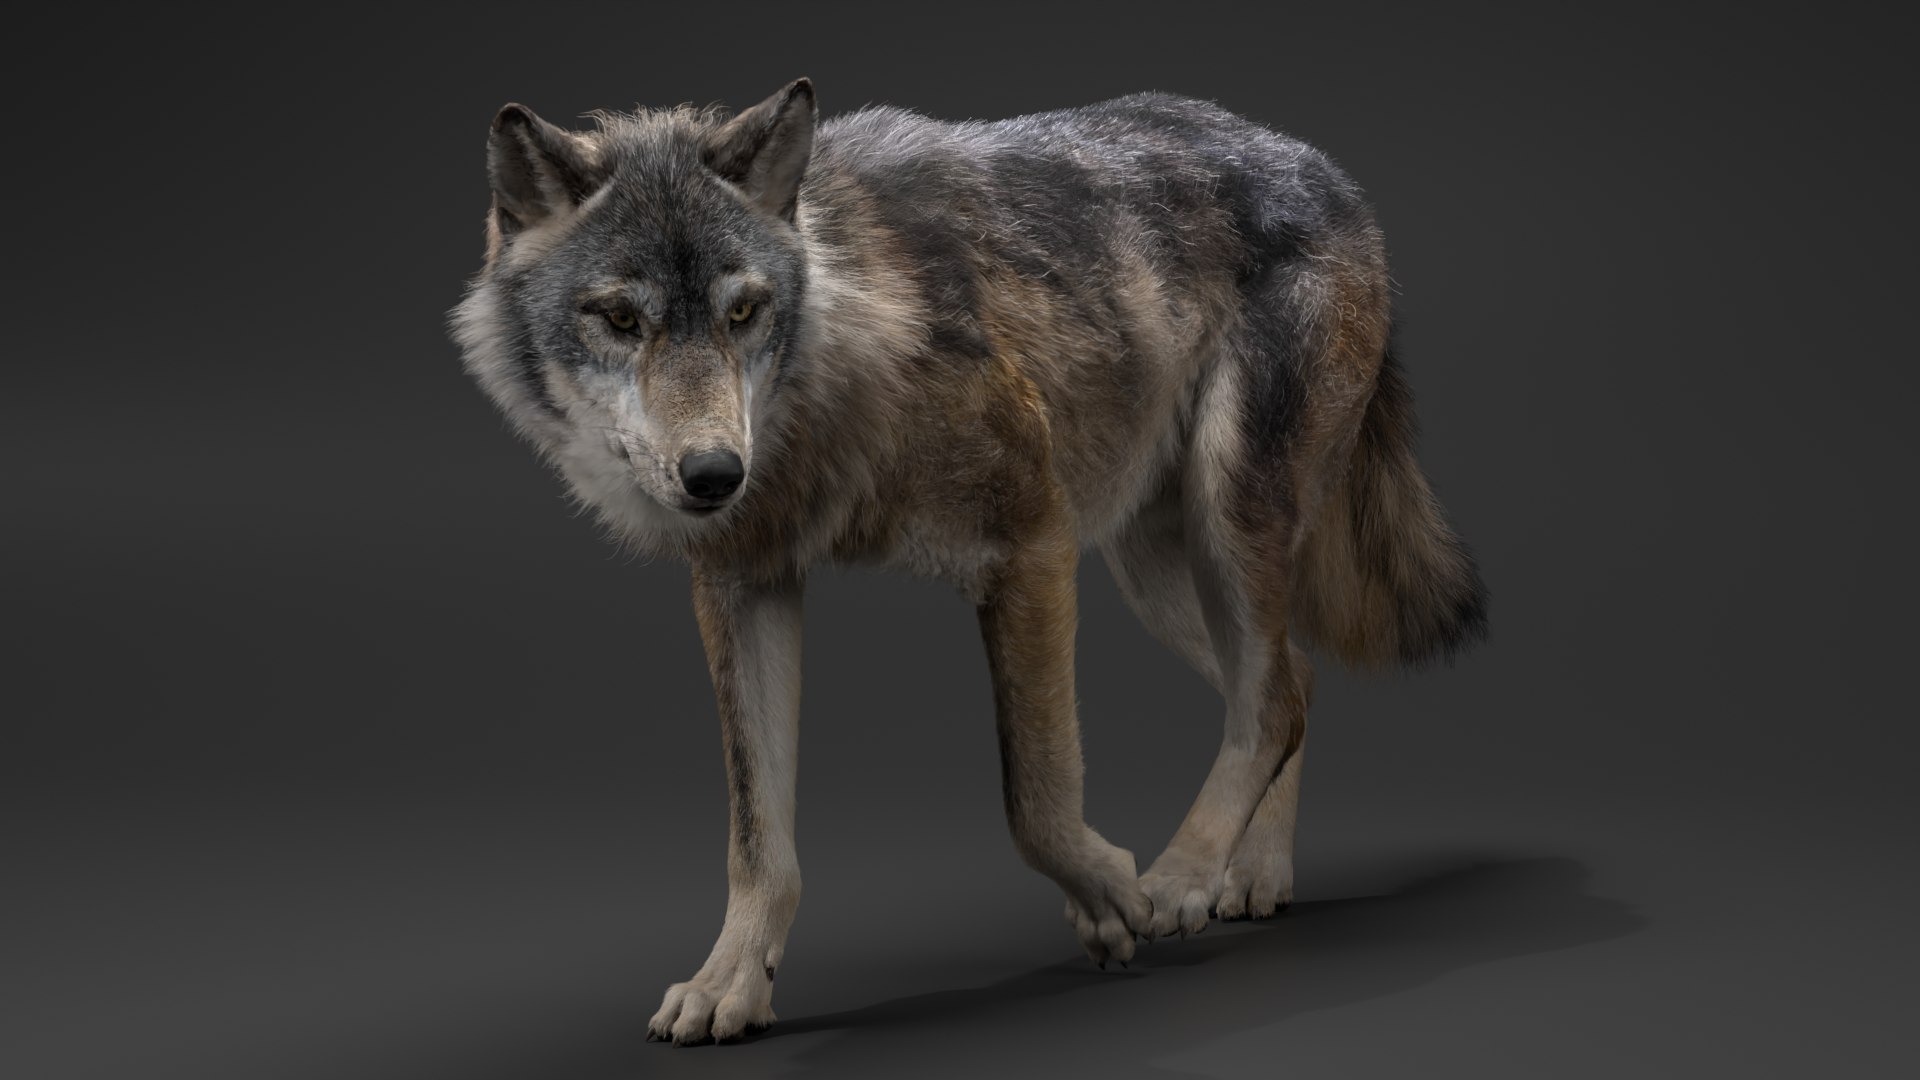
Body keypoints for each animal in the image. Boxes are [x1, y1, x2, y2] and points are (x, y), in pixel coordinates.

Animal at [448, 78, 1486, 1045]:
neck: (842, 368)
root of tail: (1320, 167)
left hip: (1221, 520)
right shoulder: (745, 585)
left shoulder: (1030, 544)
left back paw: (1186, 877)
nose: (713, 475)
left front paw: (1114, 895)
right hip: (1153, 566)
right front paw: (731, 983)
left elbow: (1034, 795)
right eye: (621, 320)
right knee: (1289, 680)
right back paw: (1254, 873)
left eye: (744, 311)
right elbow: (758, 838)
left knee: (1270, 698)